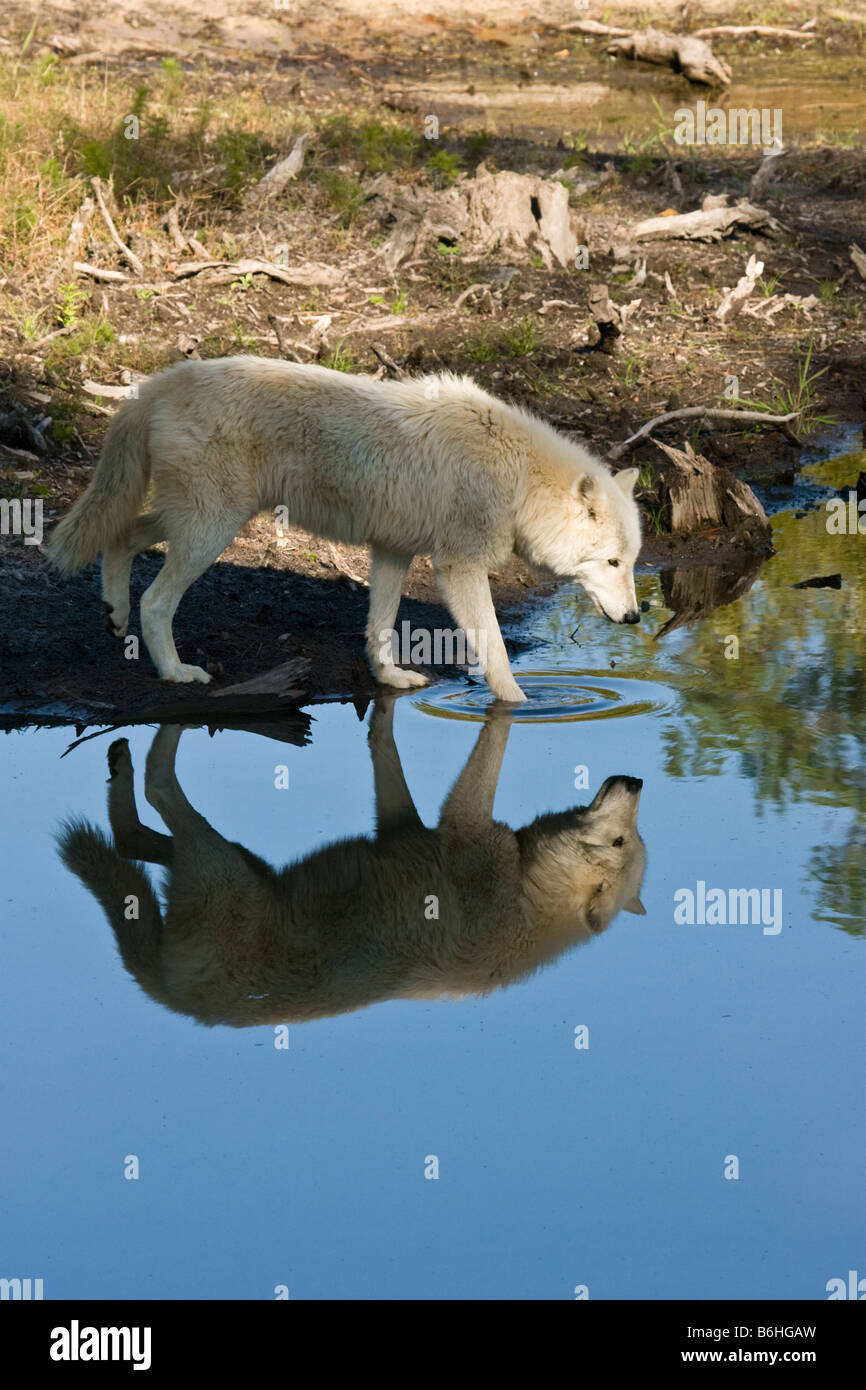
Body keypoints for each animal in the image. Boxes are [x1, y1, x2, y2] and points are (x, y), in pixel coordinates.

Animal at [46, 357, 642, 702]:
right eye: (613, 562)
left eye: (633, 564)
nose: (637, 618)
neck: (518, 479)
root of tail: (157, 384)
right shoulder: (458, 566)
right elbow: (494, 651)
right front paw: (521, 705)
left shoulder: (393, 551)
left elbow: (379, 626)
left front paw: (389, 679)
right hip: (210, 531)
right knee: (155, 600)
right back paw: (174, 672)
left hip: (195, 521)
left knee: (121, 537)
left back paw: (113, 614)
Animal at [58, 703, 646, 1026]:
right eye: (624, 839)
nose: (638, 781)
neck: (527, 899)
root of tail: (171, 998)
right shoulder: (418, 828)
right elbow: (390, 743)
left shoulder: (440, 828)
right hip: (224, 861)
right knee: (142, 823)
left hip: (222, 862)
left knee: (145, 813)